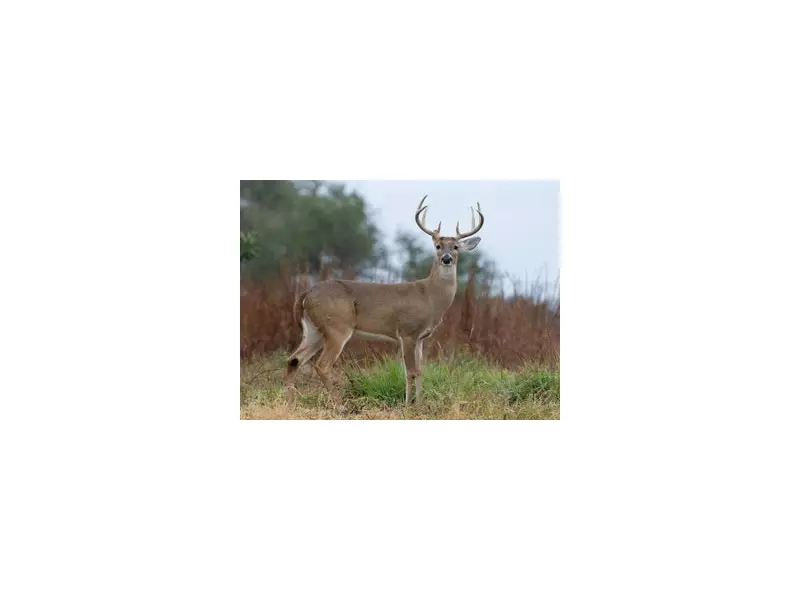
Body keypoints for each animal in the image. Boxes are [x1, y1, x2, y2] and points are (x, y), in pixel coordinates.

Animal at [285, 195, 485, 405]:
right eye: (437, 246)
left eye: (455, 247)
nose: (446, 258)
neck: (430, 296)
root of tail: (306, 294)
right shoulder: (407, 331)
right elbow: (410, 372)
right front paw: (407, 406)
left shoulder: (421, 337)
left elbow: (420, 371)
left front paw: (420, 404)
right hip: (336, 327)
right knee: (321, 365)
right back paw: (338, 405)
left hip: (313, 330)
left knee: (293, 360)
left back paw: (290, 403)